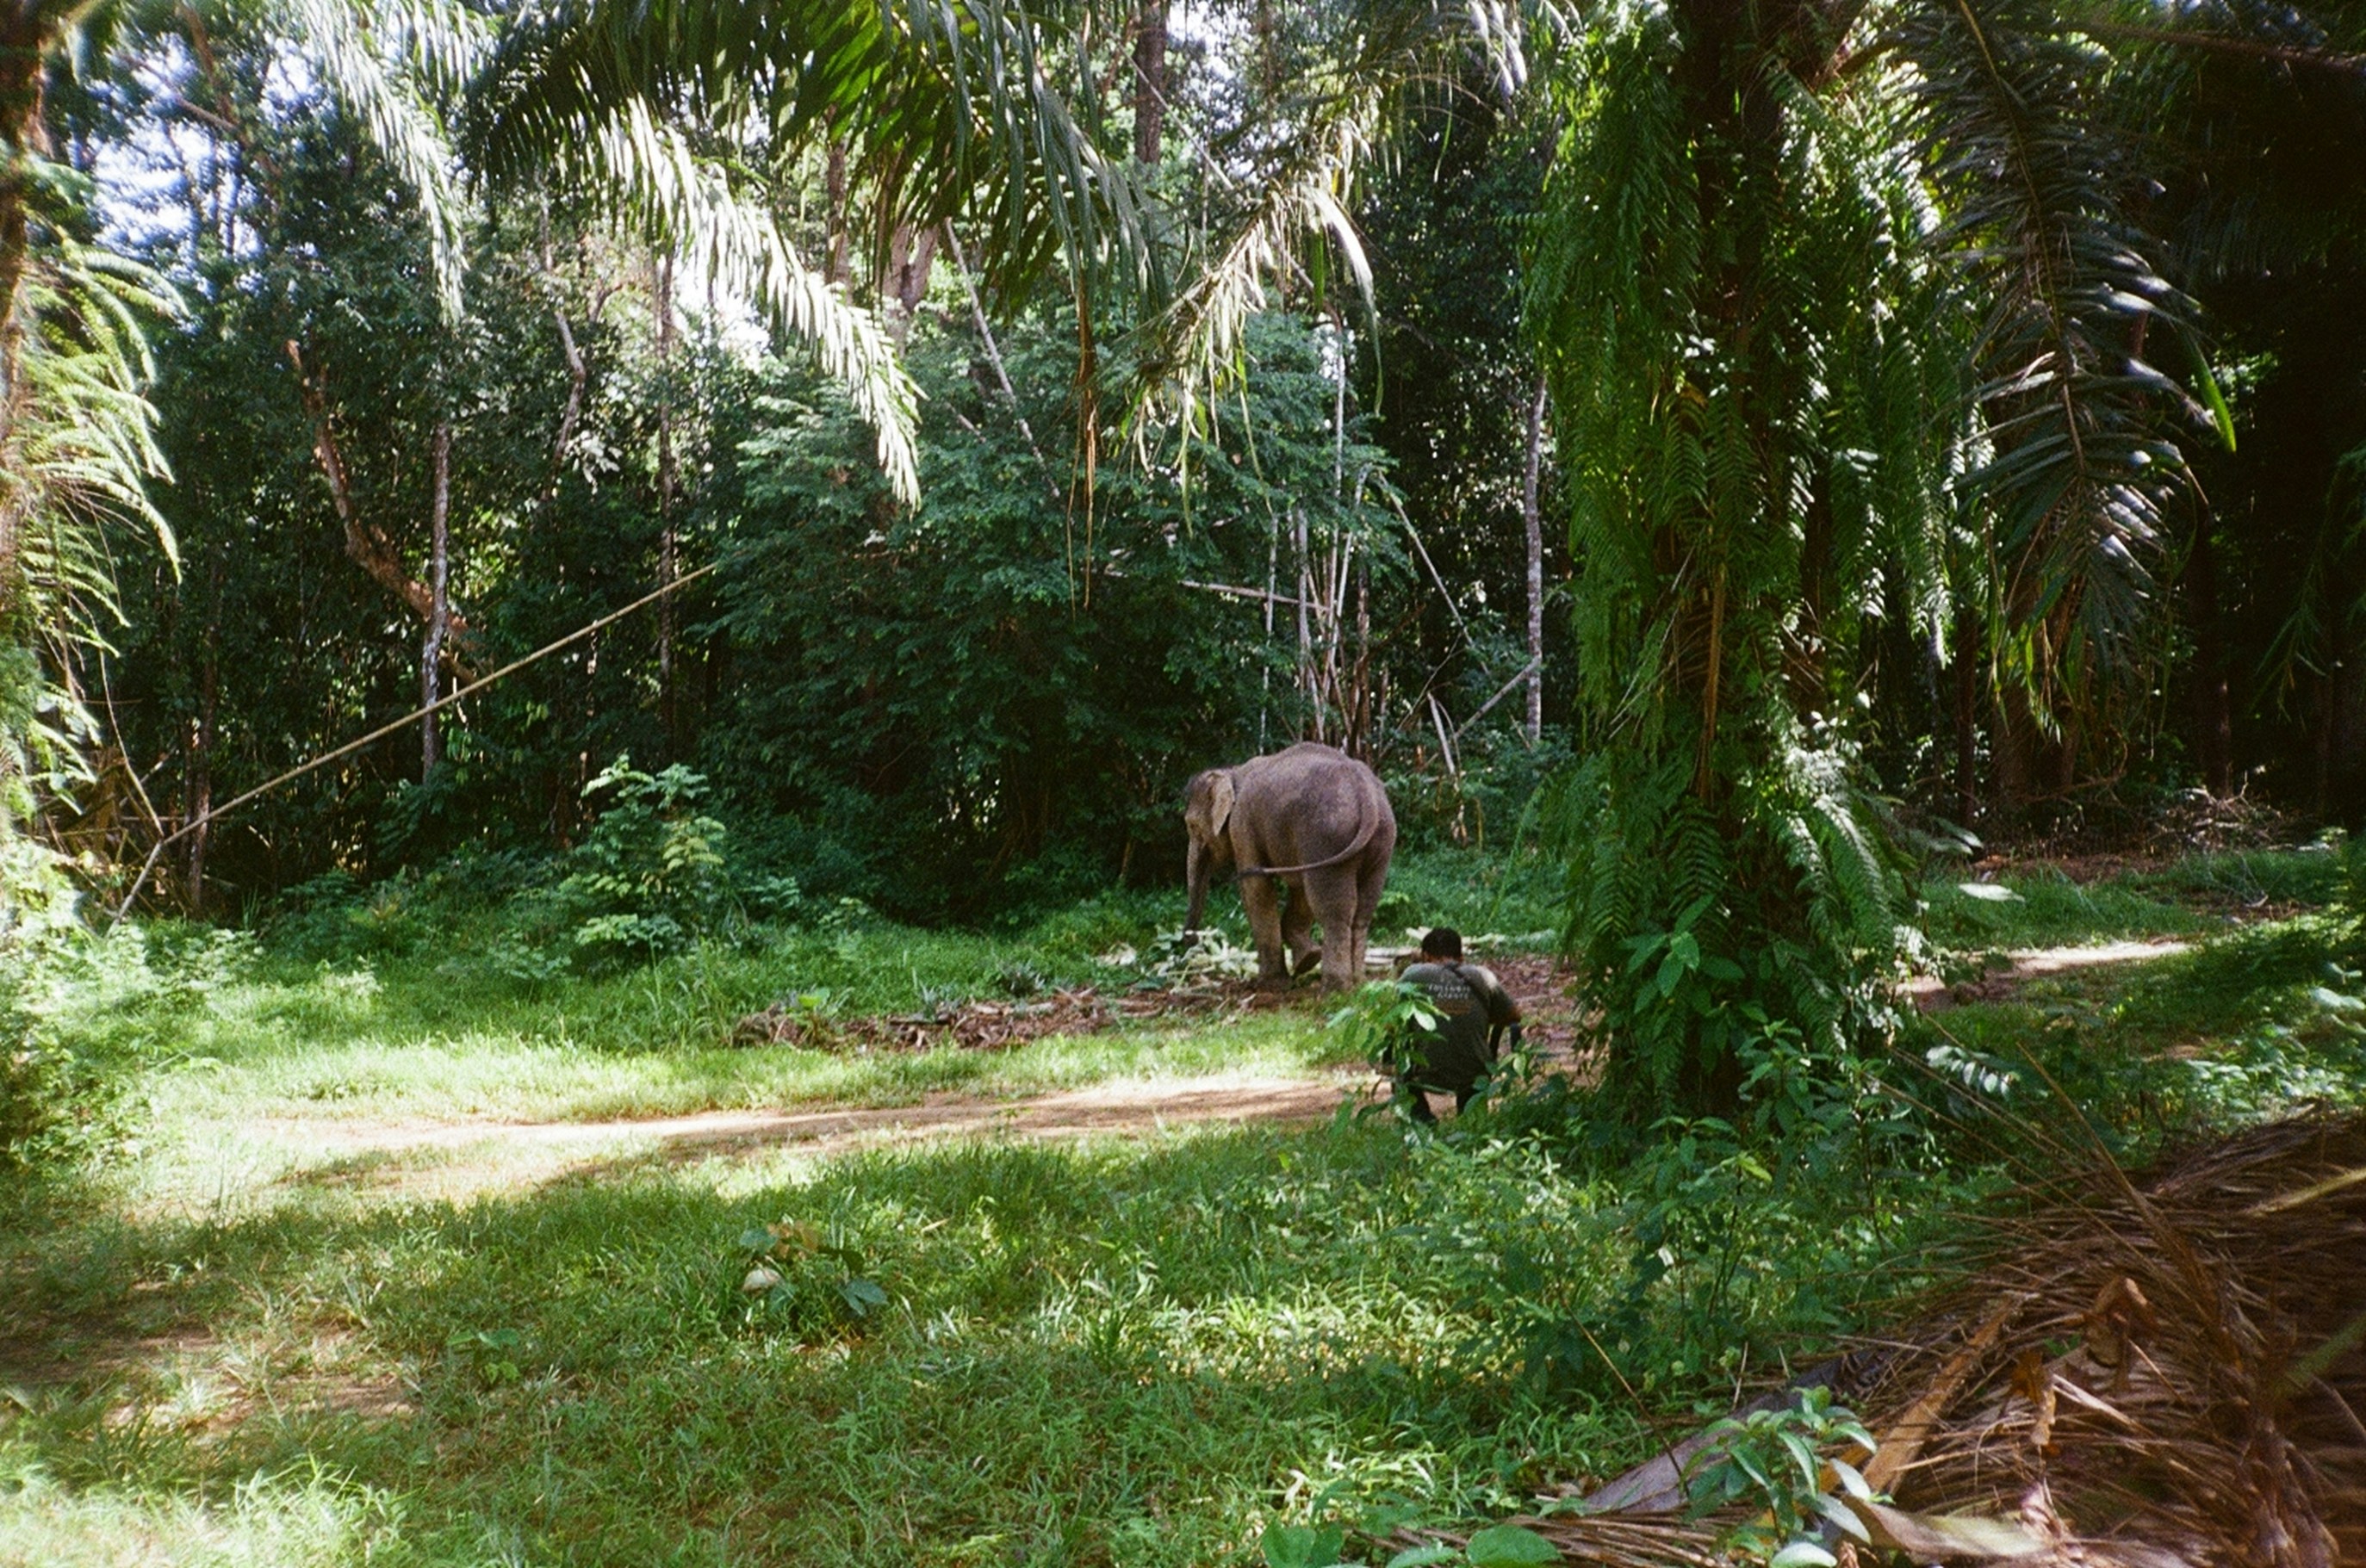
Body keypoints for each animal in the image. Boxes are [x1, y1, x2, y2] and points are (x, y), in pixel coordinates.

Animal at [1182, 742, 1397, 991]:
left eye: (1192, 826)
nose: (1191, 942)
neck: (1232, 772)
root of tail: (1366, 794)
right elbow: (1300, 892)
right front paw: (1308, 960)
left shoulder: (1242, 826)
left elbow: (1257, 889)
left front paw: (1271, 985)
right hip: (1381, 842)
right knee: (1363, 909)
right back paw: (1359, 984)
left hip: (1327, 837)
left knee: (1332, 909)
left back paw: (1335, 991)